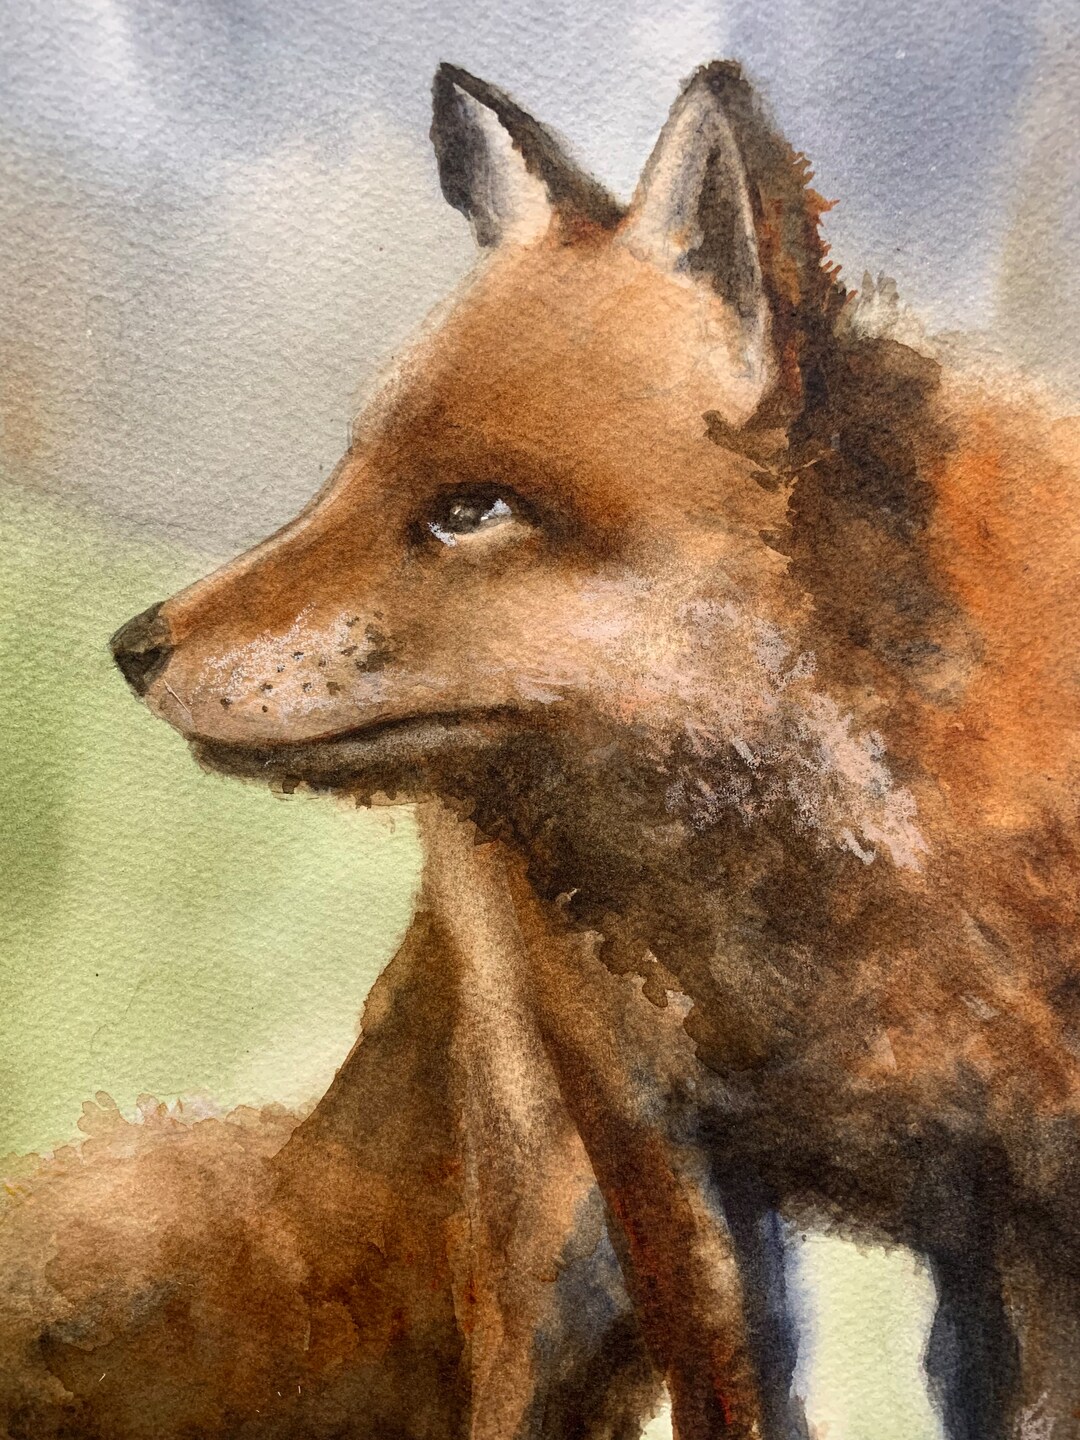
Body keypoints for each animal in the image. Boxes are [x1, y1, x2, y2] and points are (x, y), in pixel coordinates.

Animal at [89, 55, 1080, 1440]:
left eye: (473, 510)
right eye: (352, 469)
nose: (134, 646)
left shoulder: (1032, 1198)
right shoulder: (669, 1166)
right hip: (559, 1242)